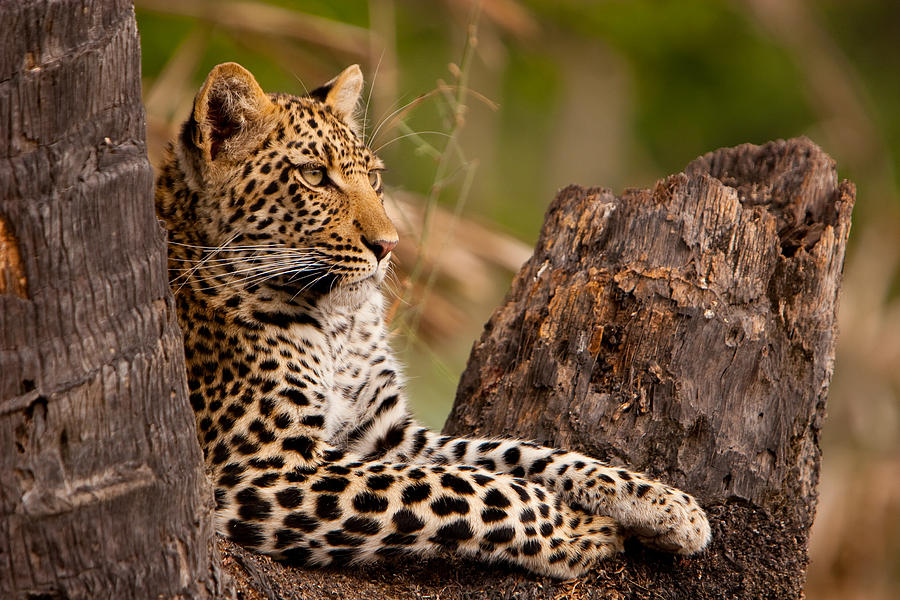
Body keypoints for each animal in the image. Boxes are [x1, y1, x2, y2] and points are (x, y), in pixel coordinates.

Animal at [154, 61, 711, 579]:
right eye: (314, 176)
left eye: (373, 178)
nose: (389, 246)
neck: (338, 325)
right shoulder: (260, 467)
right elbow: (475, 488)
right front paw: (581, 529)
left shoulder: (388, 435)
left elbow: (513, 453)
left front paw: (665, 504)